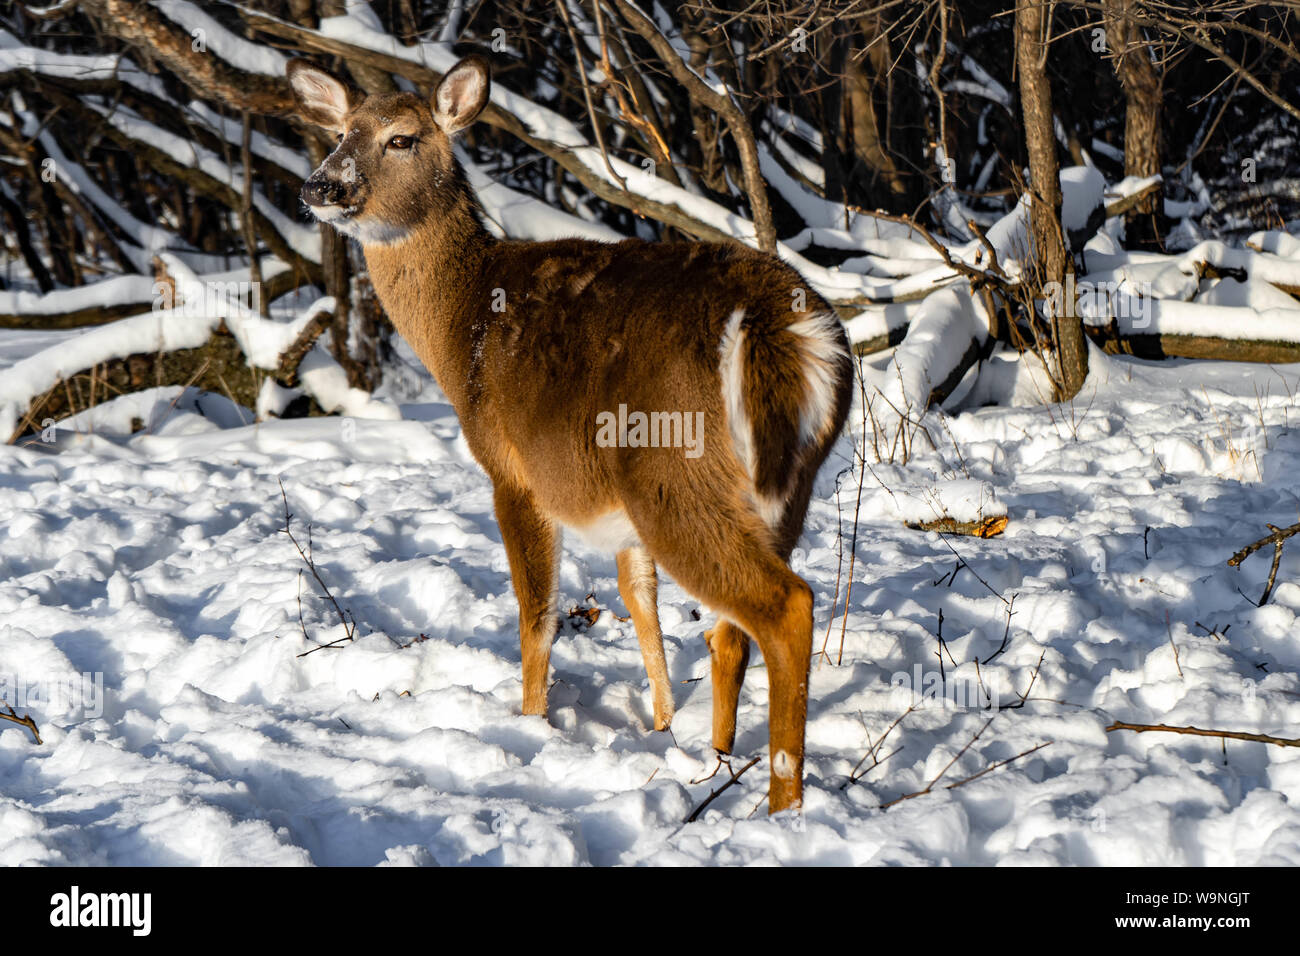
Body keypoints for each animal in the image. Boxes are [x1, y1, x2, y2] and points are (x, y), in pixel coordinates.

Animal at [287, 54, 853, 813]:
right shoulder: (618, 511)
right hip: (779, 488)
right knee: (732, 630)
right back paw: (718, 759)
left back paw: (781, 805)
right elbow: (640, 605)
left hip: (675, 470)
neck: (461, 331)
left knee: (786, 605)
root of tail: (779, 326)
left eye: (401, 138)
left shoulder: (512, 468)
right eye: (341, 131)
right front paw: (661, 726)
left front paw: (530, 723)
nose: (321, 185)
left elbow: (538, 612)